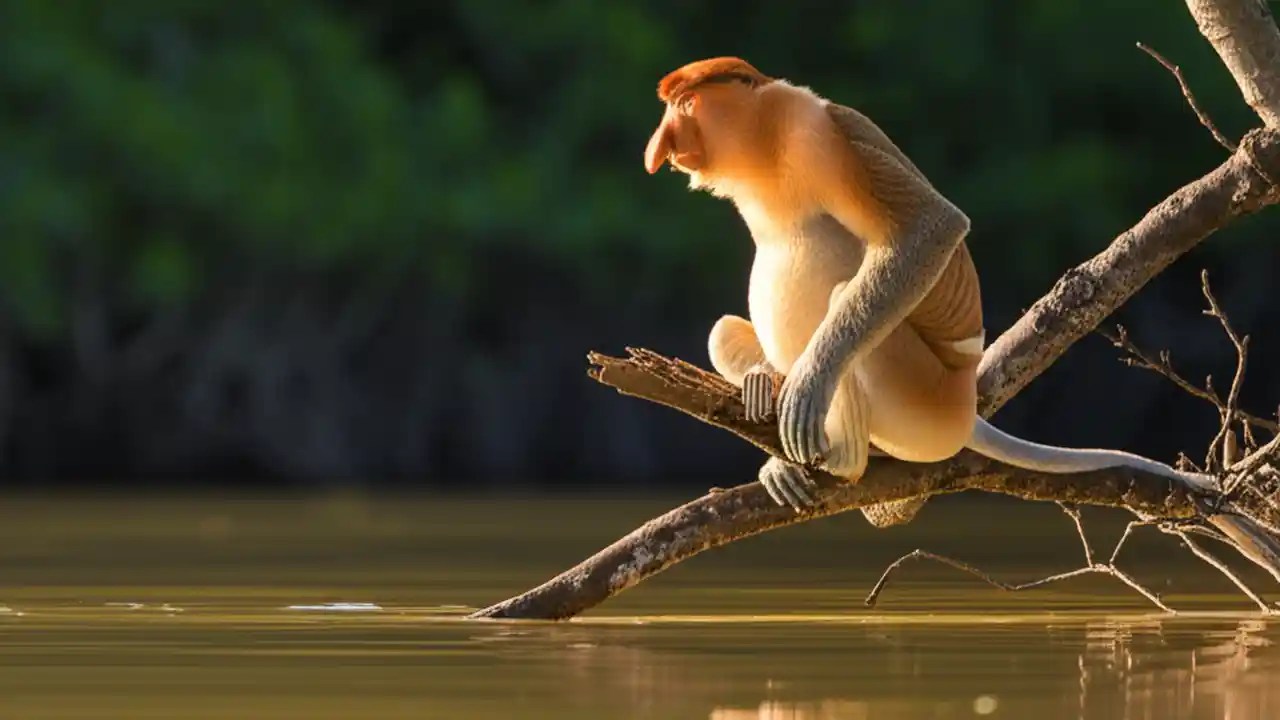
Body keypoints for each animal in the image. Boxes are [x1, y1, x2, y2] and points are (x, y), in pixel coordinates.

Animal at [644, 57, 1213, 511]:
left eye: (688, 104)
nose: (659, 150)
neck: (762, 147)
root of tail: (964, 405)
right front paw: (766, 381)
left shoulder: (815, 136)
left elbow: (934, 225)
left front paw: (805, 385)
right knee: (722, 331)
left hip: (922, 401)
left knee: (843, 299)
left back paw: (842, 459)